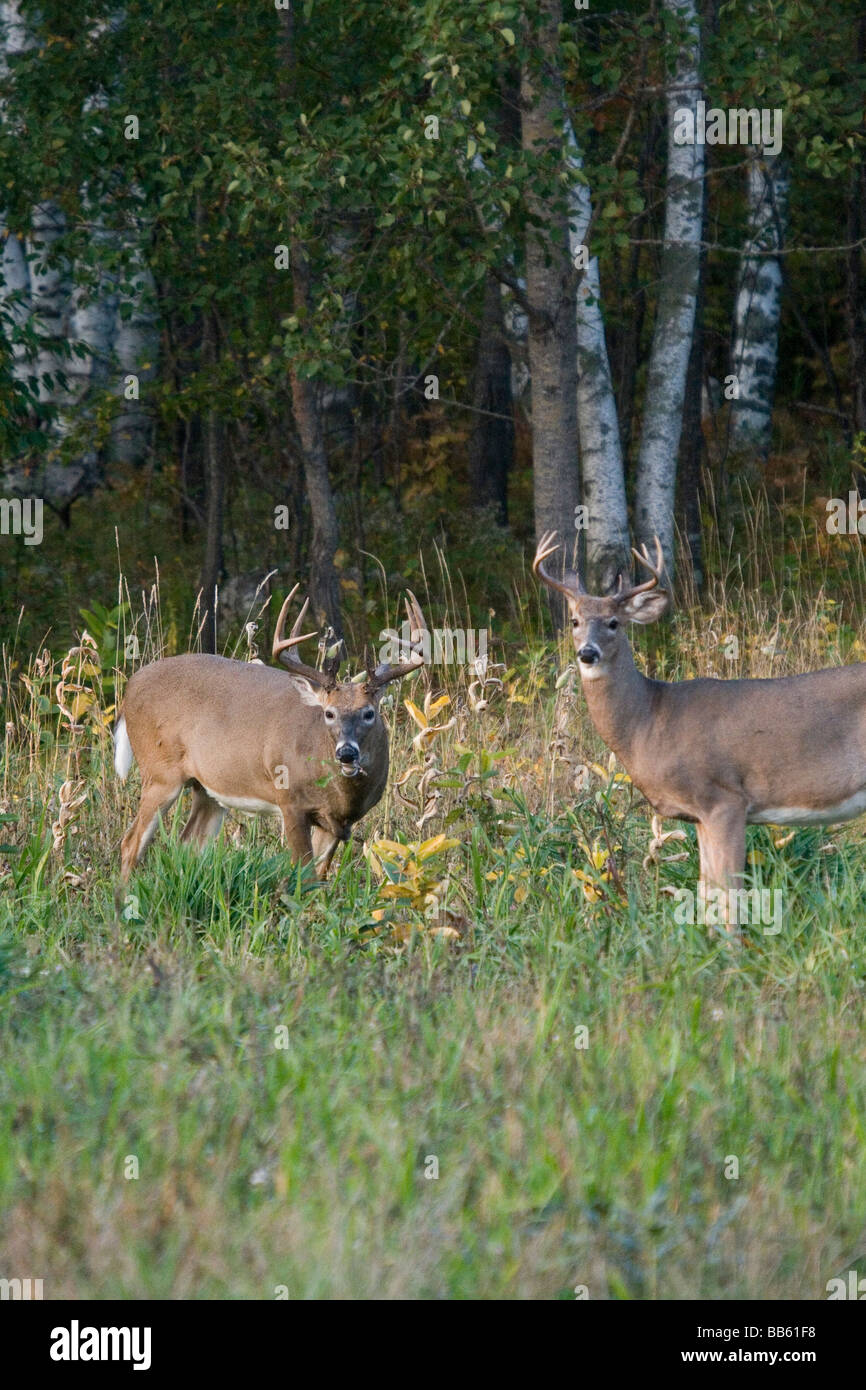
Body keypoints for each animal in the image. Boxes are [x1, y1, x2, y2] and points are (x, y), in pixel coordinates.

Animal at [113, 586, 427, 884]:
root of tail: (130, 688)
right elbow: (304, 875)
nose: (346, 753)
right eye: (329, 713)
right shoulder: (290, 801)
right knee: (131, 844)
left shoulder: (338, 823)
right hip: (159, 773)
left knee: (188, 845)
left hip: (208, 789)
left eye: (369, 713)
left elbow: (320, 878)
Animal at [533, 531, 866, 932]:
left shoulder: (724, 798)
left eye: (614, 622)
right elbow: (706, 890)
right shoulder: (699, 816)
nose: (587, 653)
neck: (650, 721)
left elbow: (728, 891)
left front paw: (734, 946)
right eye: (574, 620)